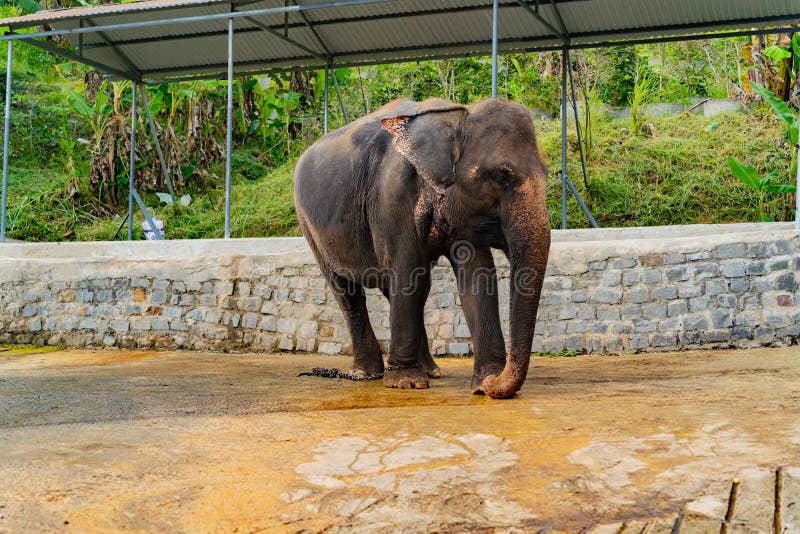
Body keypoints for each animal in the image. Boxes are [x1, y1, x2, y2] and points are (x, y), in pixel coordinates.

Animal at [293, 98, 551, 399]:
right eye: (502, 176)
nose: (494, 385)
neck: (455, 115)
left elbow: (476, 277)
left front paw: (484, 381)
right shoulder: (391, 198)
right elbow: (407, 273)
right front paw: (405, 382)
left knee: (404, 288)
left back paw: (430, 371)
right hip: (309, 226)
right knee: (348, 292)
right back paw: (367, 373)